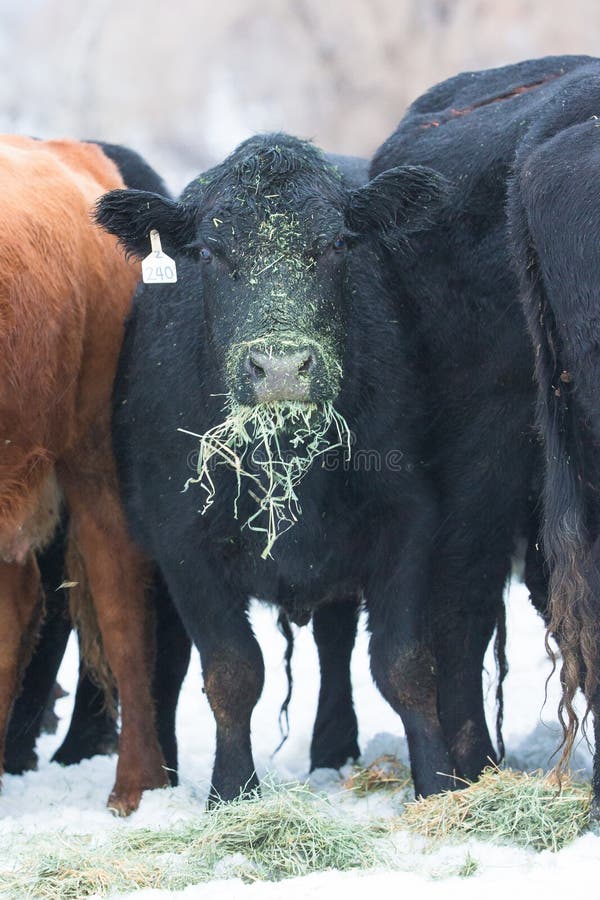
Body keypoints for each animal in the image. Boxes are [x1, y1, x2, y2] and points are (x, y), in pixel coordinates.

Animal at [95, 132, 456, 803]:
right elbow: (232, 671)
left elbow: (404, 664)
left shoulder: (409, 517)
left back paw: (333, 748)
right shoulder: (180, 538)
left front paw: (440, 784)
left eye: (336, 245)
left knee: (336, 641)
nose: (282, 366)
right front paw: (231, 791)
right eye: (208, 253)